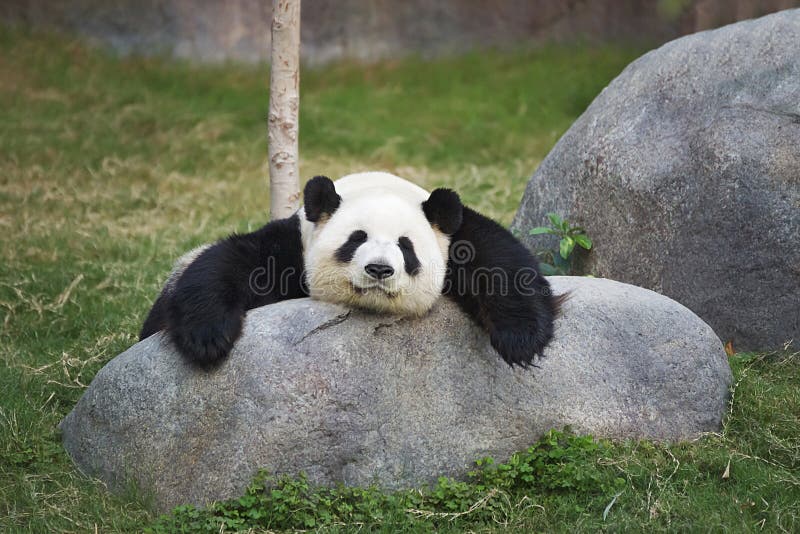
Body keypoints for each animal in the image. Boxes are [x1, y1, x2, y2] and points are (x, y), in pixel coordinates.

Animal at [140, 172, 560, 367]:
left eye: (405, 247)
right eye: (356, 239)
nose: (379, 270)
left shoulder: (457, 235)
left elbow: (502, 261)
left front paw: (520, 339)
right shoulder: (293, 245)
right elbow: (230, 262)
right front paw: (208, 337)